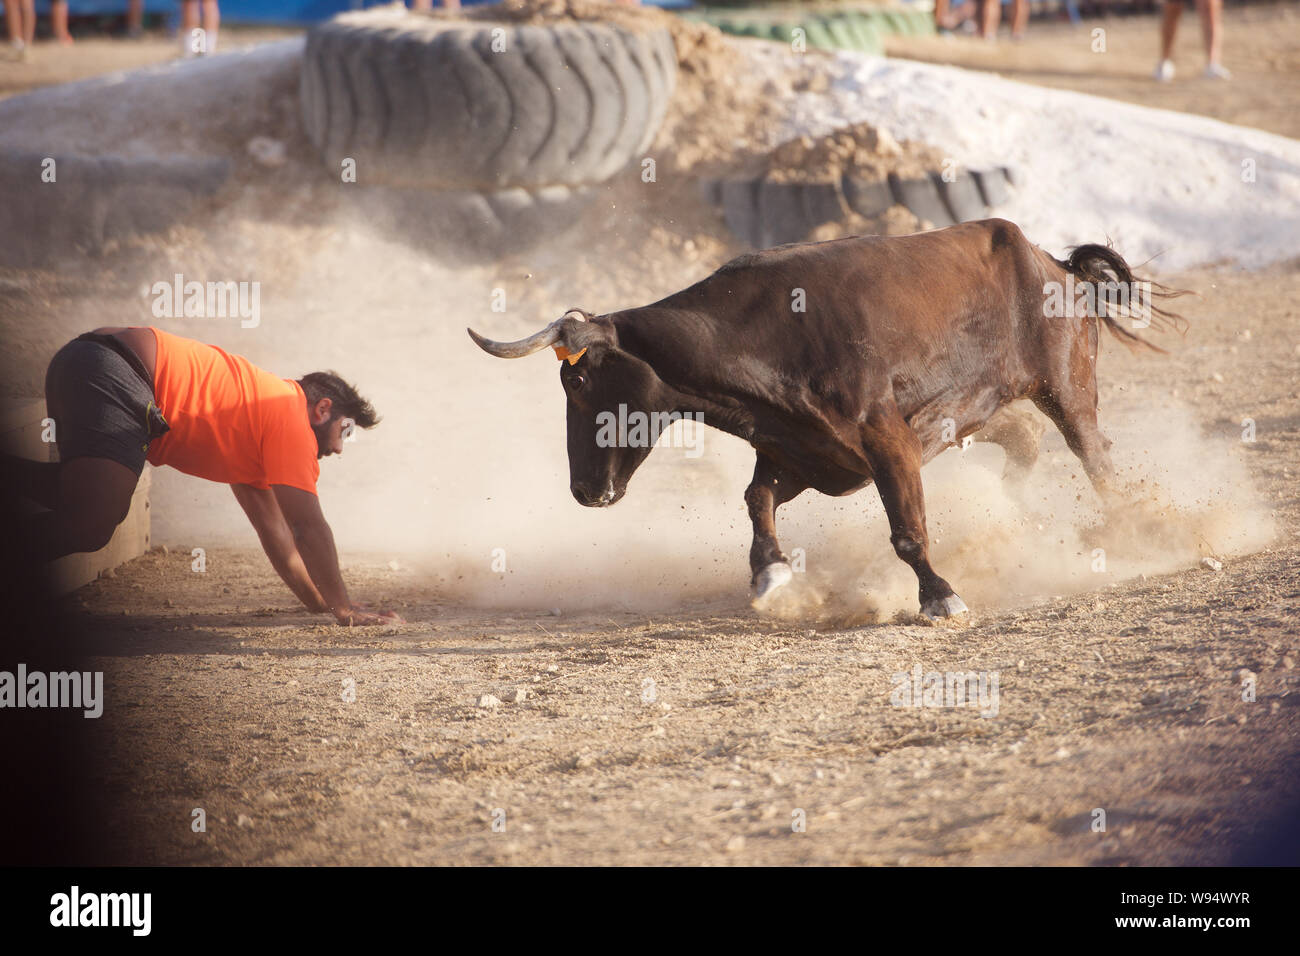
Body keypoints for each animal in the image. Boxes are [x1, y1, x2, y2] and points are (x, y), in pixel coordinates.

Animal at [468, 219, 1184, 618]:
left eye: (579, 378)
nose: (585, 490)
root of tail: (1053, 263)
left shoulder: (886, 442)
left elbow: (907, 531)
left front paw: (939, 595)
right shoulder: (811, 458)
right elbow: (756, 498)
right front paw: (769, 573)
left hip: (1066, 386)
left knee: (1095, 456)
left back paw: (1134, 531)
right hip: (978, 410)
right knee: (1027, 440)